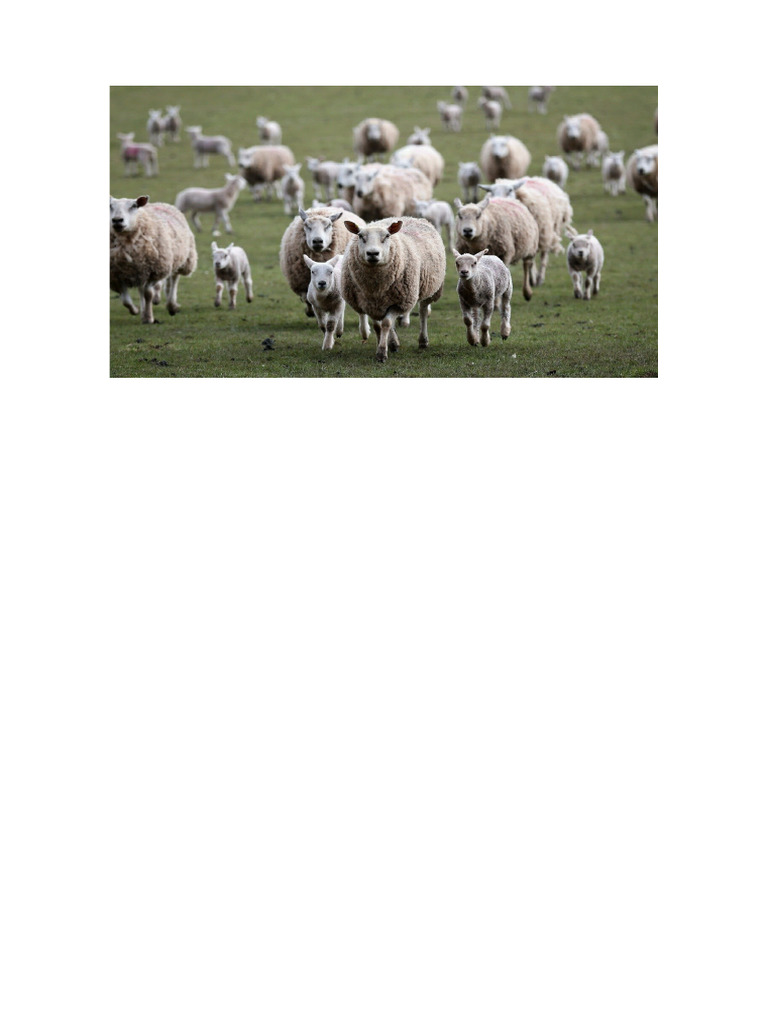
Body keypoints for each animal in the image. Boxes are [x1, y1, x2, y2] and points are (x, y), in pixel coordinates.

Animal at [110, 194, 197, 323]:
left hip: (181, 258)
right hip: (141, 270)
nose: (117, 220)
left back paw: (172, 306)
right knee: (141, 289)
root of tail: (160, 203)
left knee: (174, 279)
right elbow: (125, 300)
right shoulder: (116, 275)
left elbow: (148, 294)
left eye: (134, 206)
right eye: (110, 206)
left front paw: (149, 318)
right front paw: (136, 310)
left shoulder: (155, 271)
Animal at [340, 216, 446, 362]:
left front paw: (382, 352)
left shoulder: (399, 303)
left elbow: (386, 323)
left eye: (387, 236)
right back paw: (393, 342)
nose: (373, 253)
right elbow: (377, 326)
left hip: (430, 288)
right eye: (360, 236)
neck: (375, 287)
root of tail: (410, 217)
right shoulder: (369, 303)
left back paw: (423, 341)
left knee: (423, 311)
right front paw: (386, 343)